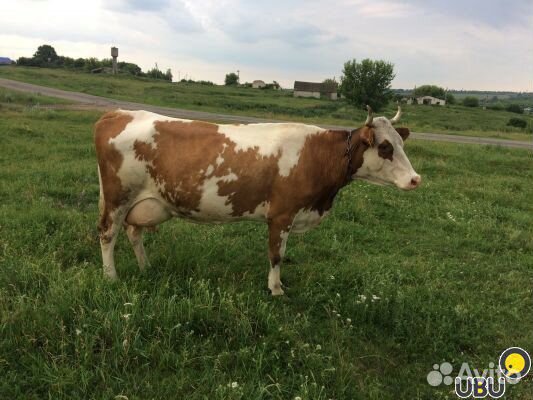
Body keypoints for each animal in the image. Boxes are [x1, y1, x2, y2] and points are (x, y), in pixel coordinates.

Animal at [94, 105, 420, 294]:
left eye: (401, 143)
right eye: (385, 147)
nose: (416, 179)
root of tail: (119, 113)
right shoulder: (282, 215)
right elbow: (276, 255)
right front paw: (276, 289)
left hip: (142, 202)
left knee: (133, 232)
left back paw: (145, 267)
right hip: (117, 196)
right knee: (108, 234)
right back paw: (110, 277)